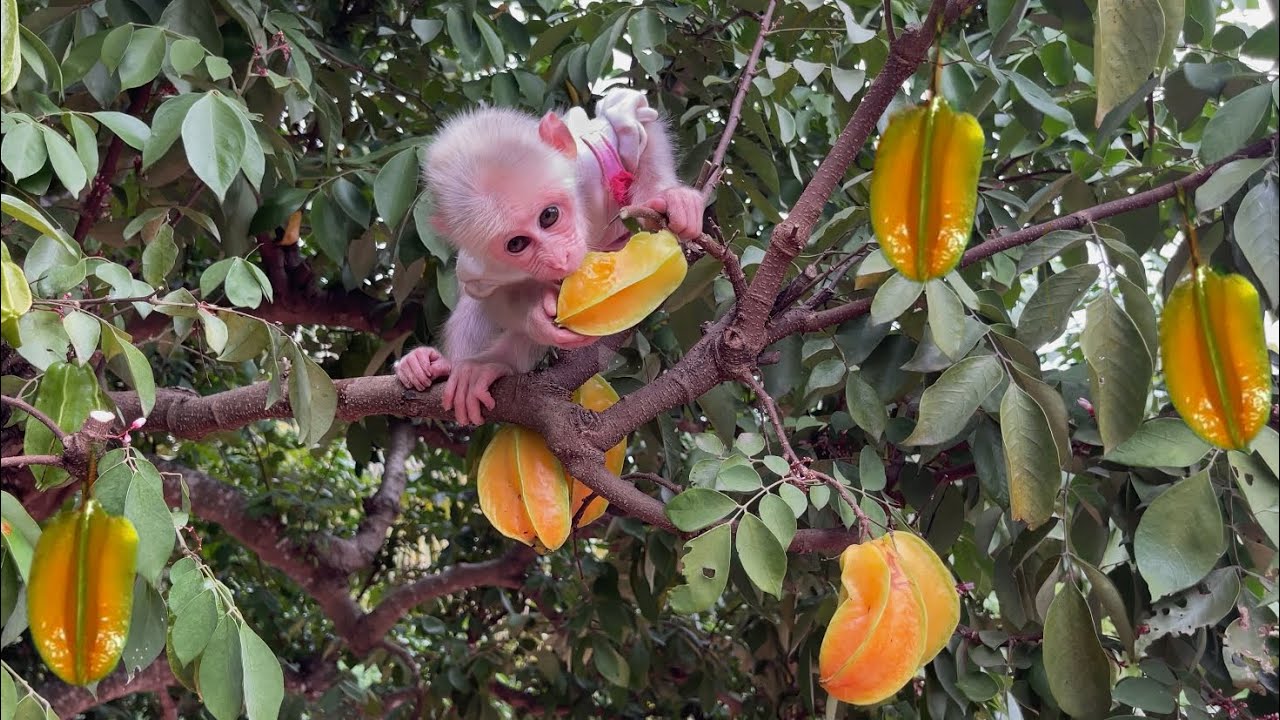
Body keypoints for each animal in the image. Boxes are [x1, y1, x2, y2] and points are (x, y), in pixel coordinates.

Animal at [395, 89, 706, 426]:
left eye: (549, 216)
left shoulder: (588, 165)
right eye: (517, 244)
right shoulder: (483, 263)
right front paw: (536, 315)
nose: (558, 259)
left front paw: (669, 198)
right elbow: (488, 295)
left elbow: (635, 121)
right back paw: (468, 365)